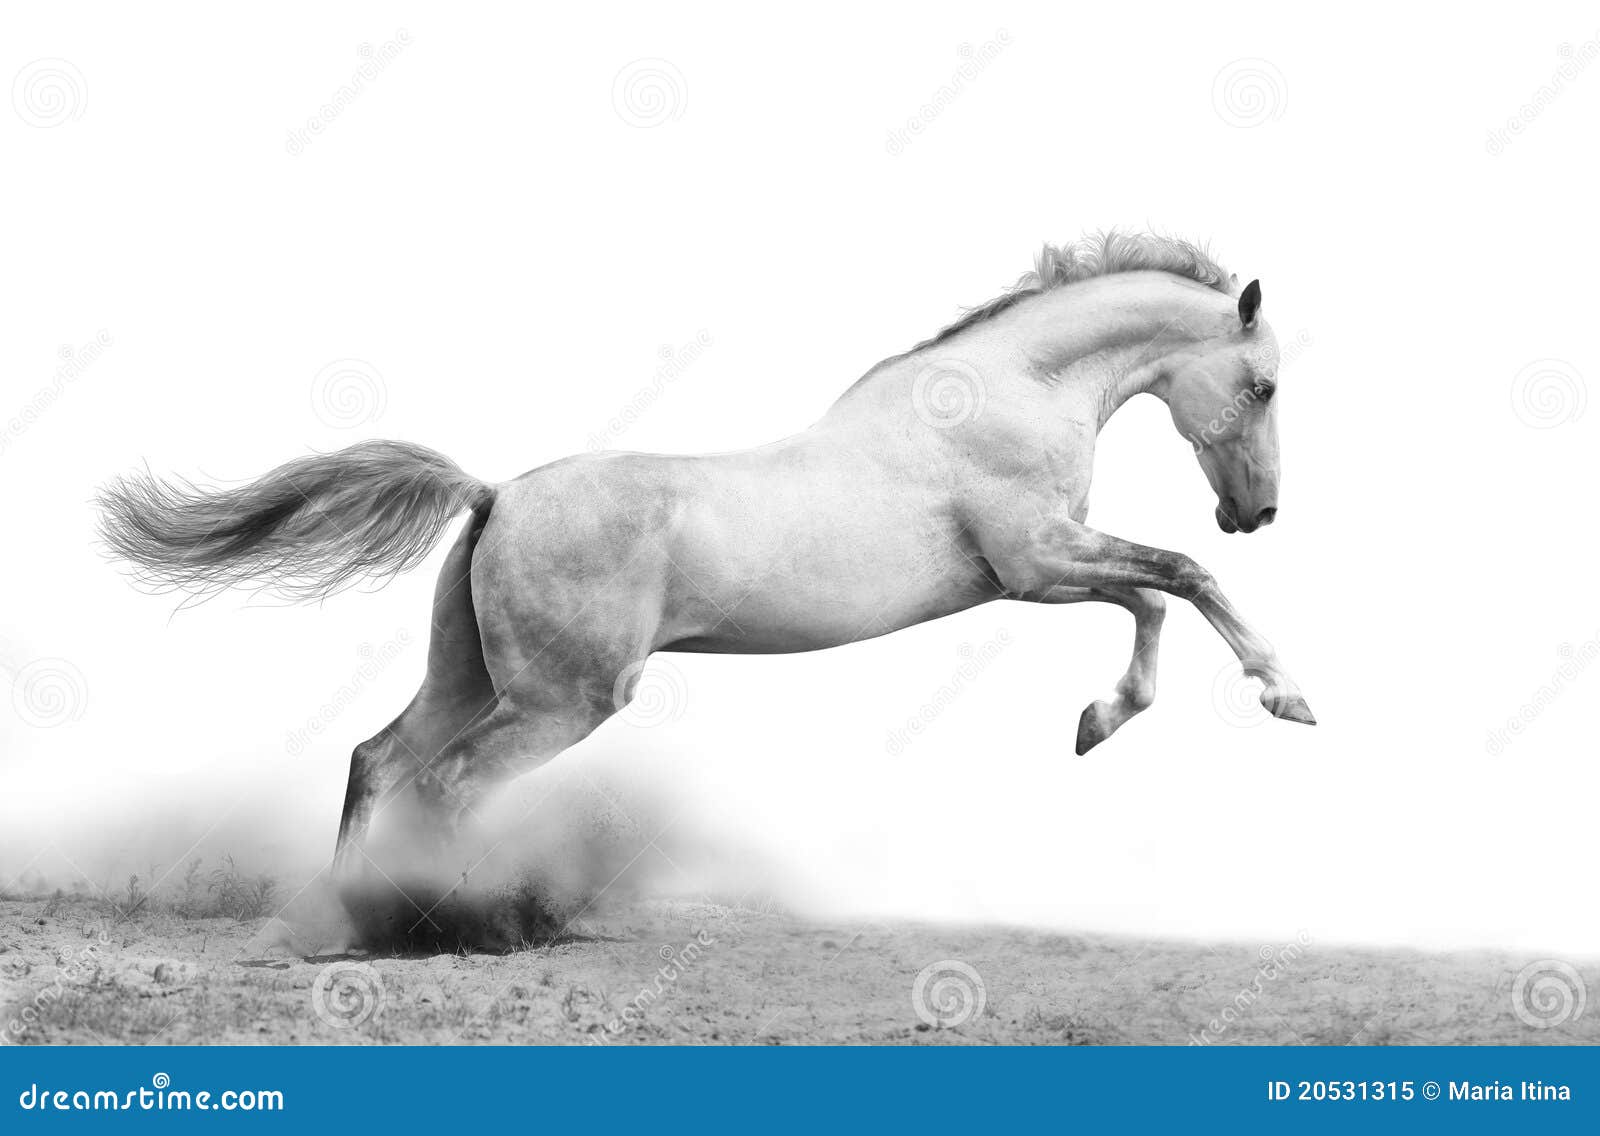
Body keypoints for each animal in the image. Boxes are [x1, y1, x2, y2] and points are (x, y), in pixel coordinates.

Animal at [96, 230, 1314, 877]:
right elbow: (1178, 580)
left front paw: (1097, 722)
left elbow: (1156, 598)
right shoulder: (1035, 563)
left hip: (470, 675)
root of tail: (495, 495)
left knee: (379, 760)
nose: (1255, 513)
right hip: (561, 700)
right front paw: (1284, 694)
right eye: (1261, 386)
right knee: (446, 783)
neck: (1006, 392)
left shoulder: (1046, 569)